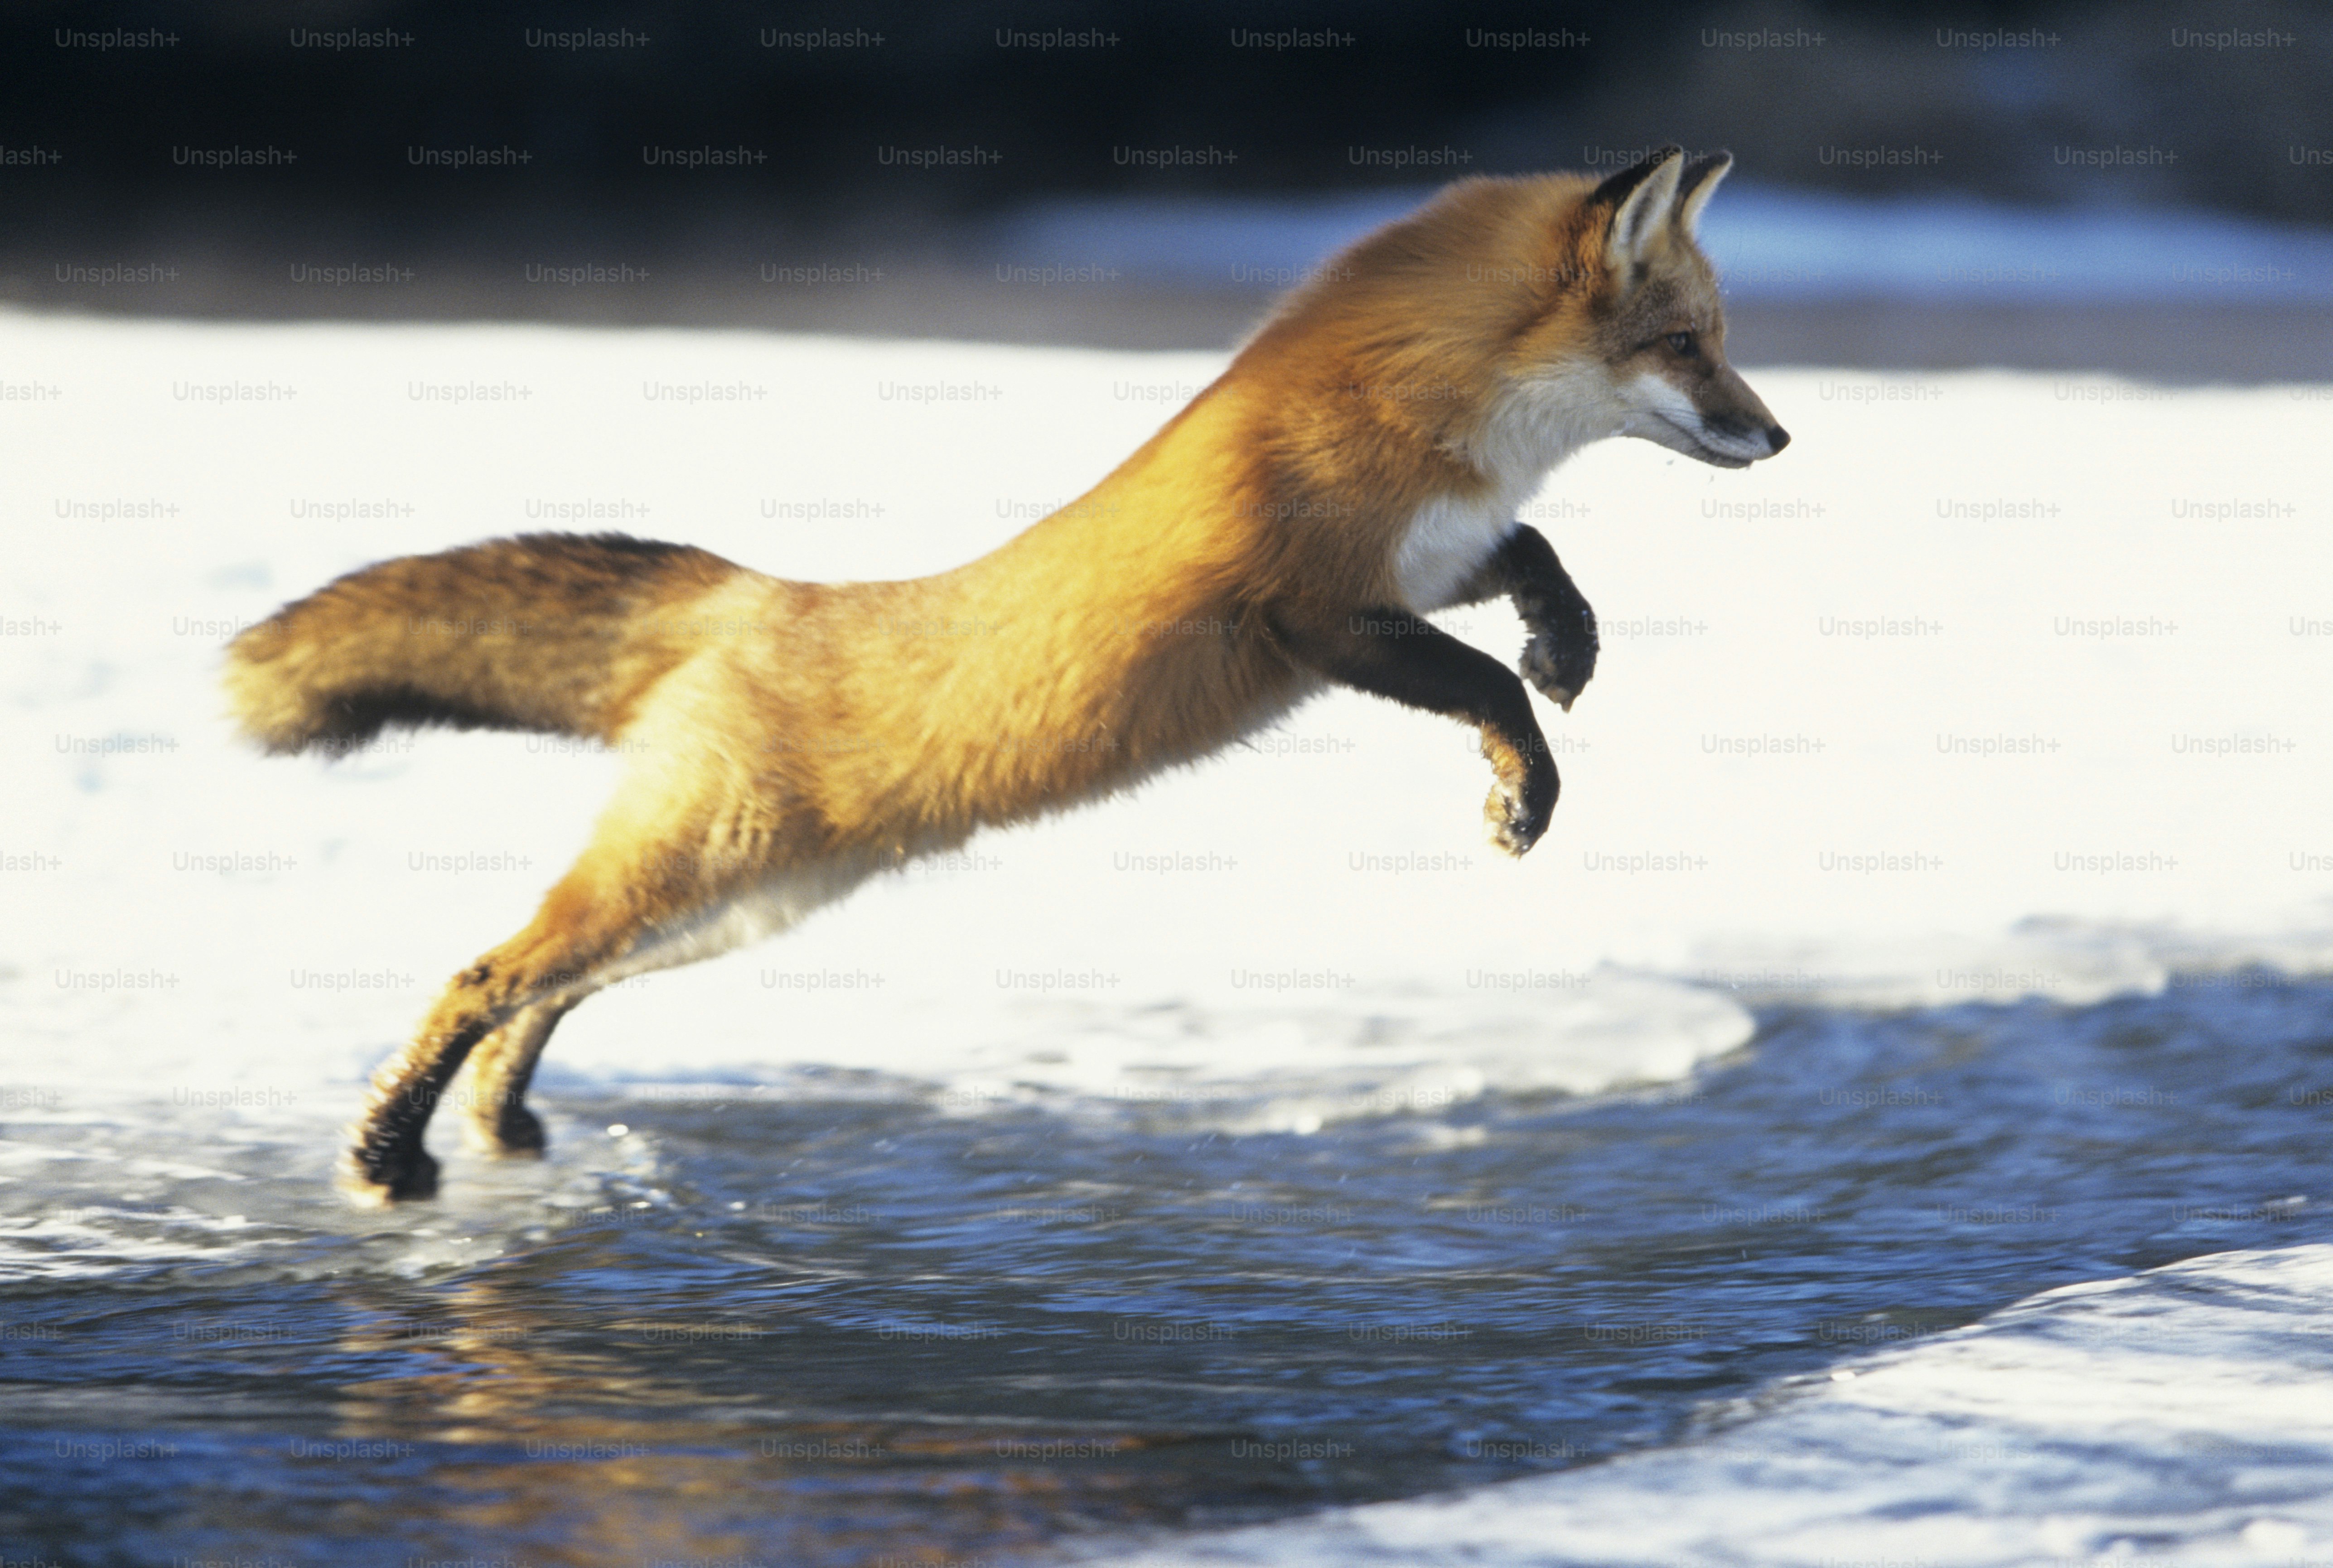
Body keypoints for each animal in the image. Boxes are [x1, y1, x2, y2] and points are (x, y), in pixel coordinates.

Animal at [225, 145, 1789, 1205]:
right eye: (1685, 345)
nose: (1778, 439)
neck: (1417, 403)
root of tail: (752, 597)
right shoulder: (1310, 612)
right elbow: (1490, 688)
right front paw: (1522, 795)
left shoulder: (1424, 561)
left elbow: (1537, 564)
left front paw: (1568, 646)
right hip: (694, 873)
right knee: (482, 973)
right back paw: (384, 1156)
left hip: (733, 907)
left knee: (537, 995)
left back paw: (499, 1131)